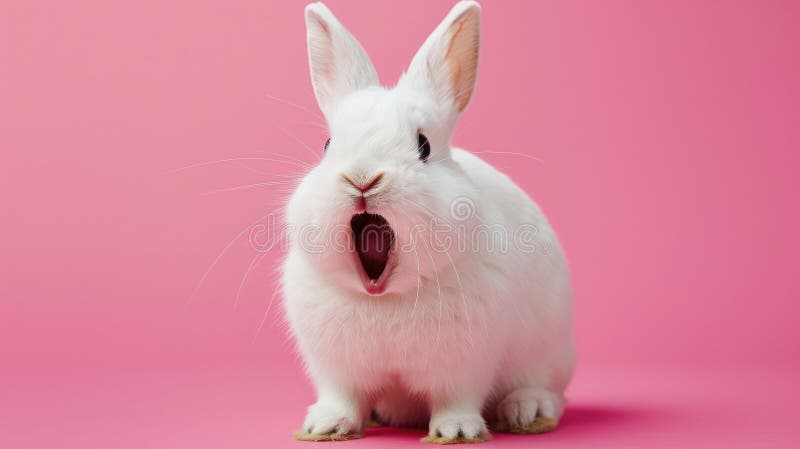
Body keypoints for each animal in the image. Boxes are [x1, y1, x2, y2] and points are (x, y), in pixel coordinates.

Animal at [281, 1, 574, 444]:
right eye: (328, 145)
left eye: (424, 145)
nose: (362, 178)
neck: (384, 298)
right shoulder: (335, 367)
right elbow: (342, 396)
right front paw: (326, 425)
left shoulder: (466, 363)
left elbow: (456, 398)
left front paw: (456, 431)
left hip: (548, 352)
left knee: (547, 391)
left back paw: (526, 411)